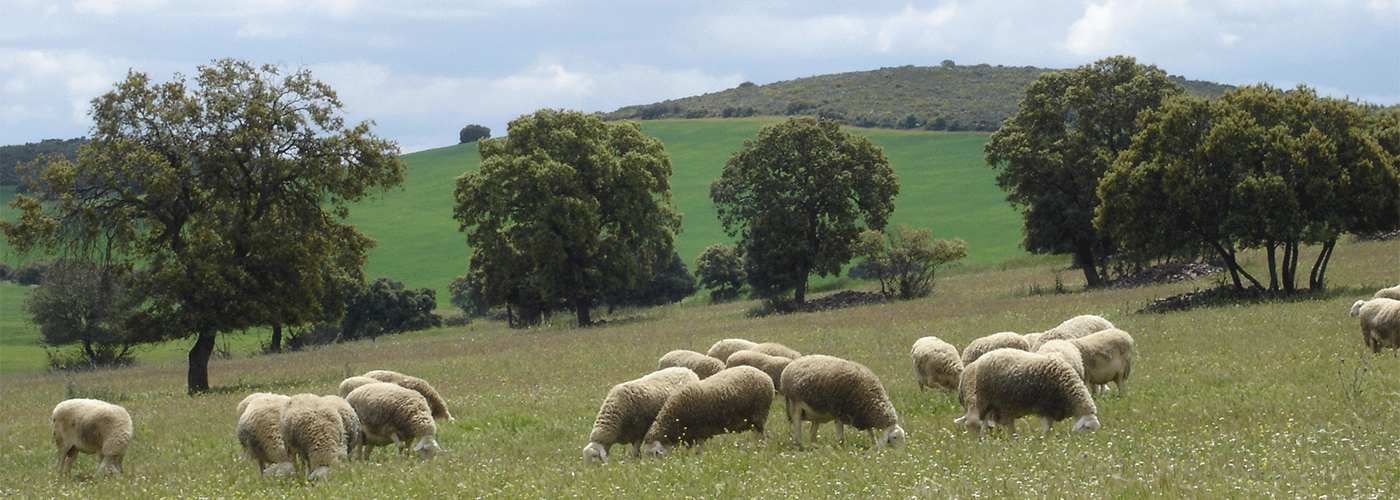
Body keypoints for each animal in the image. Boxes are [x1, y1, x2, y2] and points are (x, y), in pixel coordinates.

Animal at [643, 365, 774, 456]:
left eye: (655, 454)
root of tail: (766, 376)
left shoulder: (700, 430)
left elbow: (699, 449)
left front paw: (700, 458)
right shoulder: (690, 435)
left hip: (759, 414)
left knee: (760, 435)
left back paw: (758, 447)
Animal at [970, 348, 1100, 438]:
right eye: (1087, 427)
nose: (1090, 442)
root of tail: (988, 354)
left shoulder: (1050, 408)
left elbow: (1050, 427)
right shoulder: (1042, 406)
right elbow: (1047, 429)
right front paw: (1046, 441)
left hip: (1007, 404)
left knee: (1010, 421)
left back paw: (1014, 438)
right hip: (985, 399)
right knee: (985, 420)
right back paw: (982, 437)